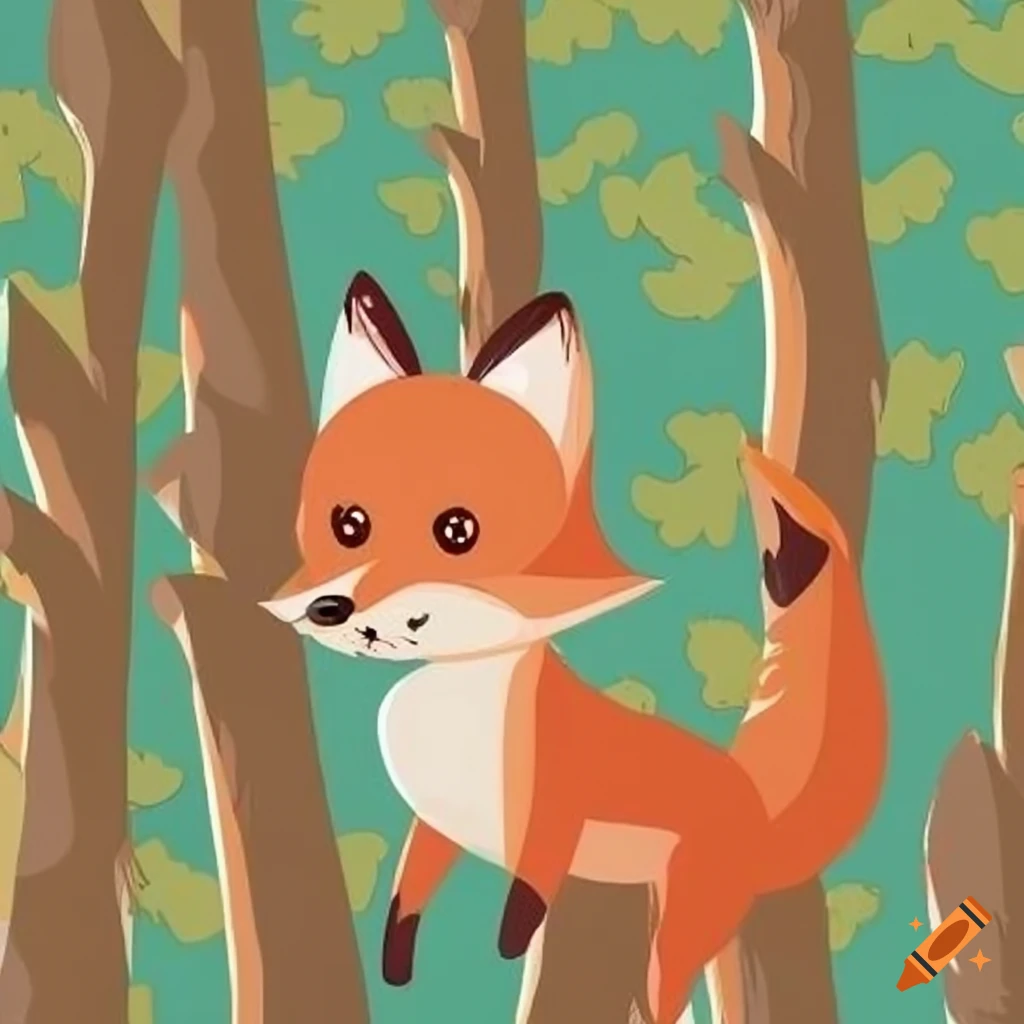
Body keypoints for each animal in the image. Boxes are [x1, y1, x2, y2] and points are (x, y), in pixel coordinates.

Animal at [260, 270, 888, 1024]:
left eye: (457, 531)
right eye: (348, 525)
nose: (334, 611)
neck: (455, 710)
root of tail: (750, 799)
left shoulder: (552, 818)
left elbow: (527, 896)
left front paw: (508, 943)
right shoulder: (436, 826)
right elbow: (407, 897)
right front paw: (397, 964)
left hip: (682, 925)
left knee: (668, 992)